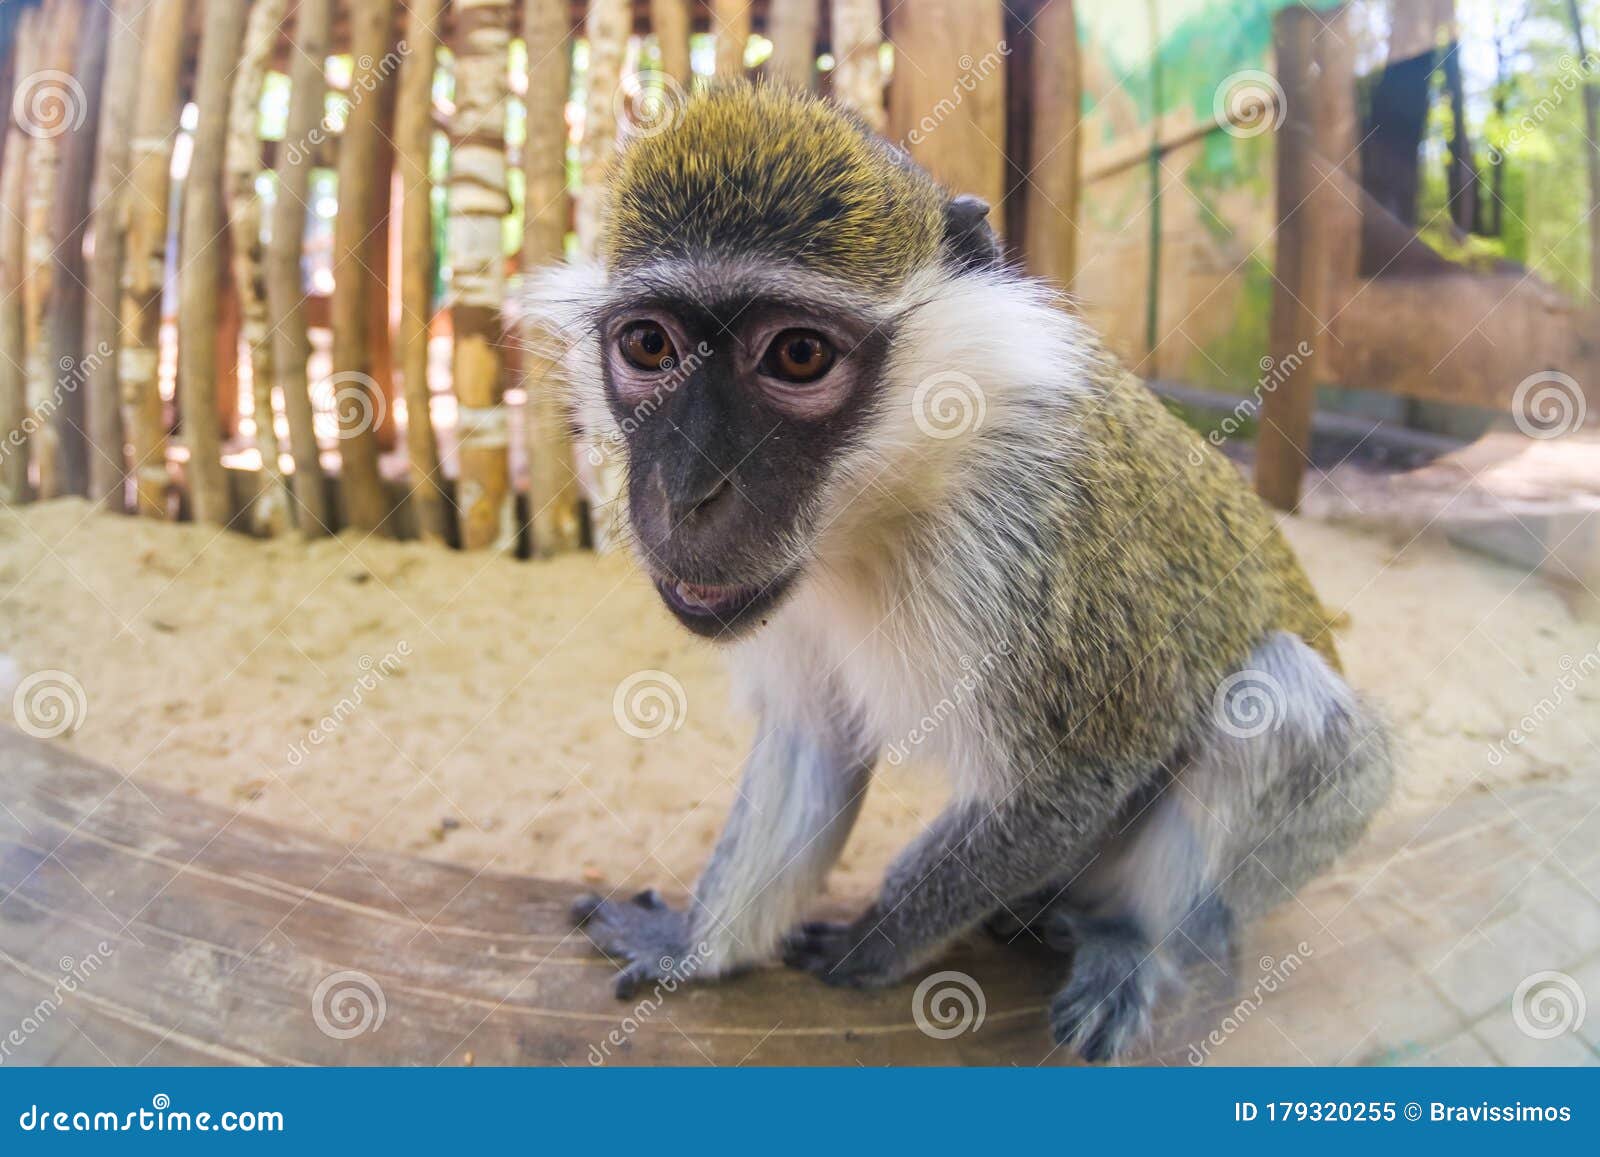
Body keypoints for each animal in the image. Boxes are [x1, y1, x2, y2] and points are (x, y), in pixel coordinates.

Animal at [532, 82, 1394, 1062]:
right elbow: (814, 741)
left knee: (1277, 696)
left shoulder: (1032, 542)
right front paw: (695, 948)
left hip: (1328, 819)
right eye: (648, 345)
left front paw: (875, 942)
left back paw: (1133, 942)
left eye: (797, 355)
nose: (686, 490)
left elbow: (1076, 777)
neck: (884, 501)